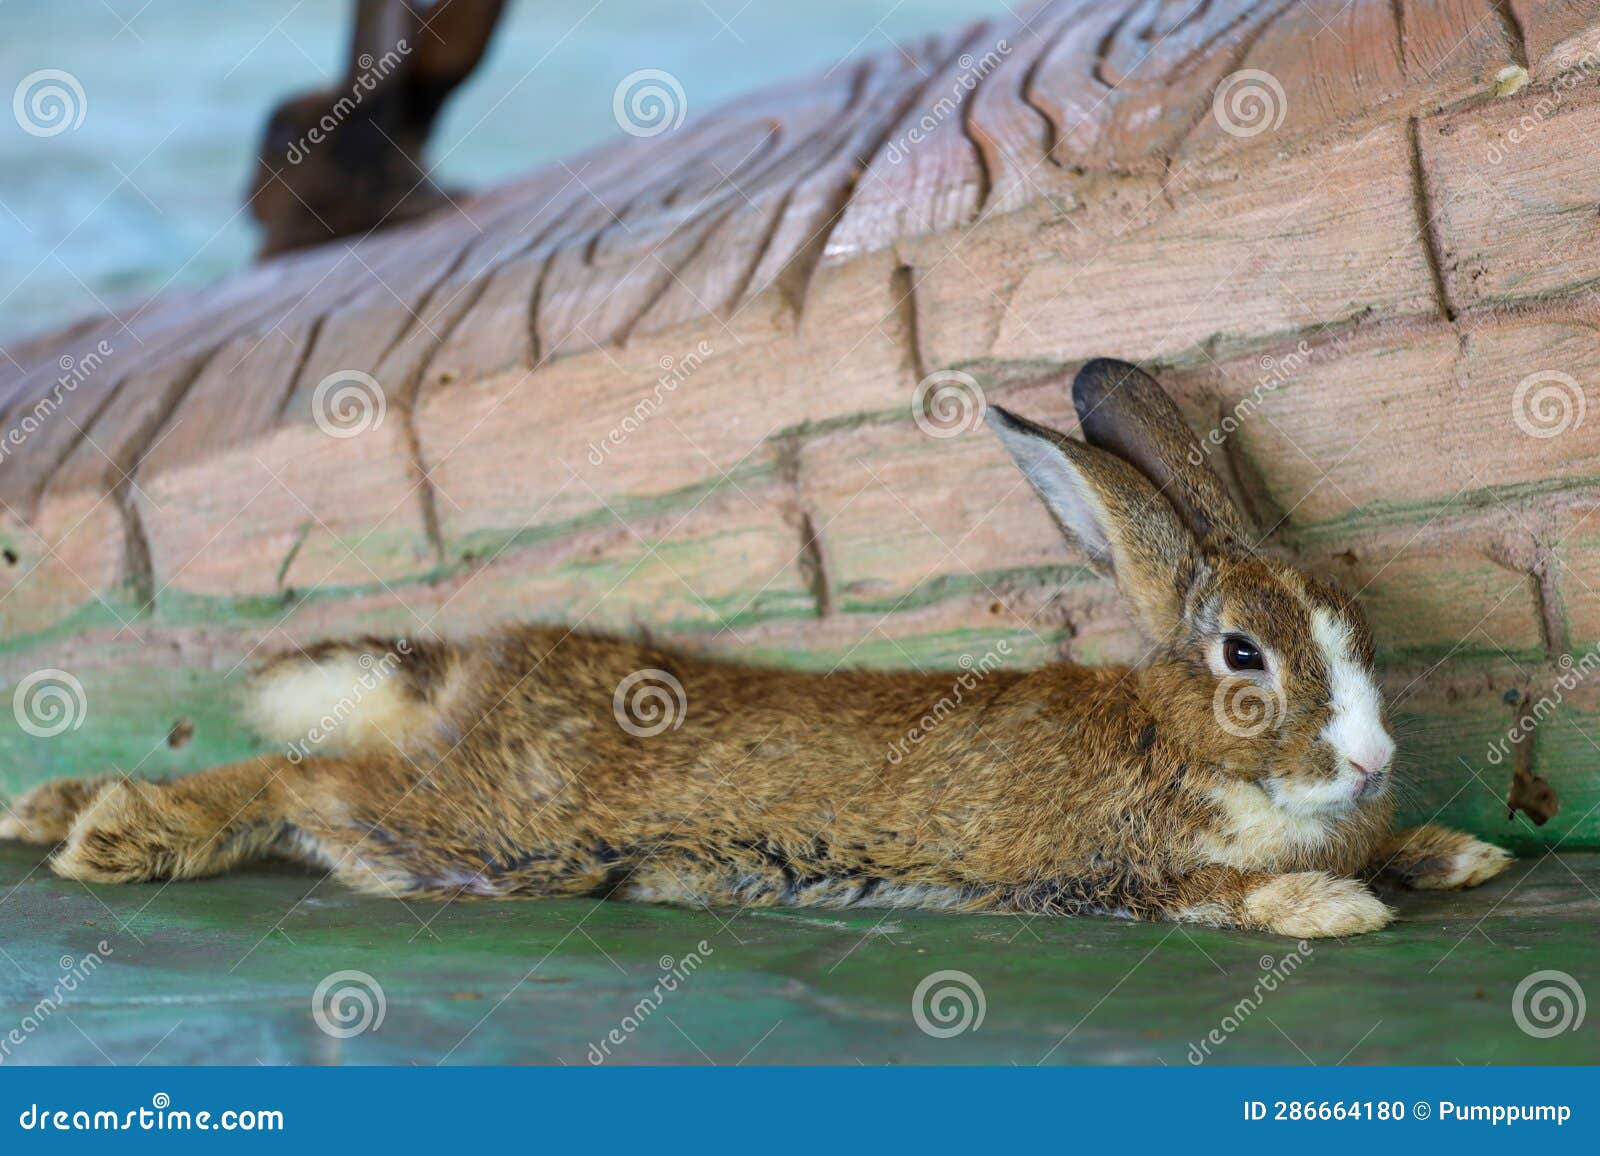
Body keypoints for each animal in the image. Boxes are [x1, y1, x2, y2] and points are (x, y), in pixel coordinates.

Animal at [0, 359, 1512, 938]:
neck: (1179, 744)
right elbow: (1218, 895)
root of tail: (465, 678)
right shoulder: (1113, 870)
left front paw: (1455, 854)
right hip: (489, 837)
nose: (1372, 756)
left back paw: (49, 807)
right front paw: (1335, 906)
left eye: (1355, 622)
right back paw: (115, 834)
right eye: (1245, 657)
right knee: (296, 787)